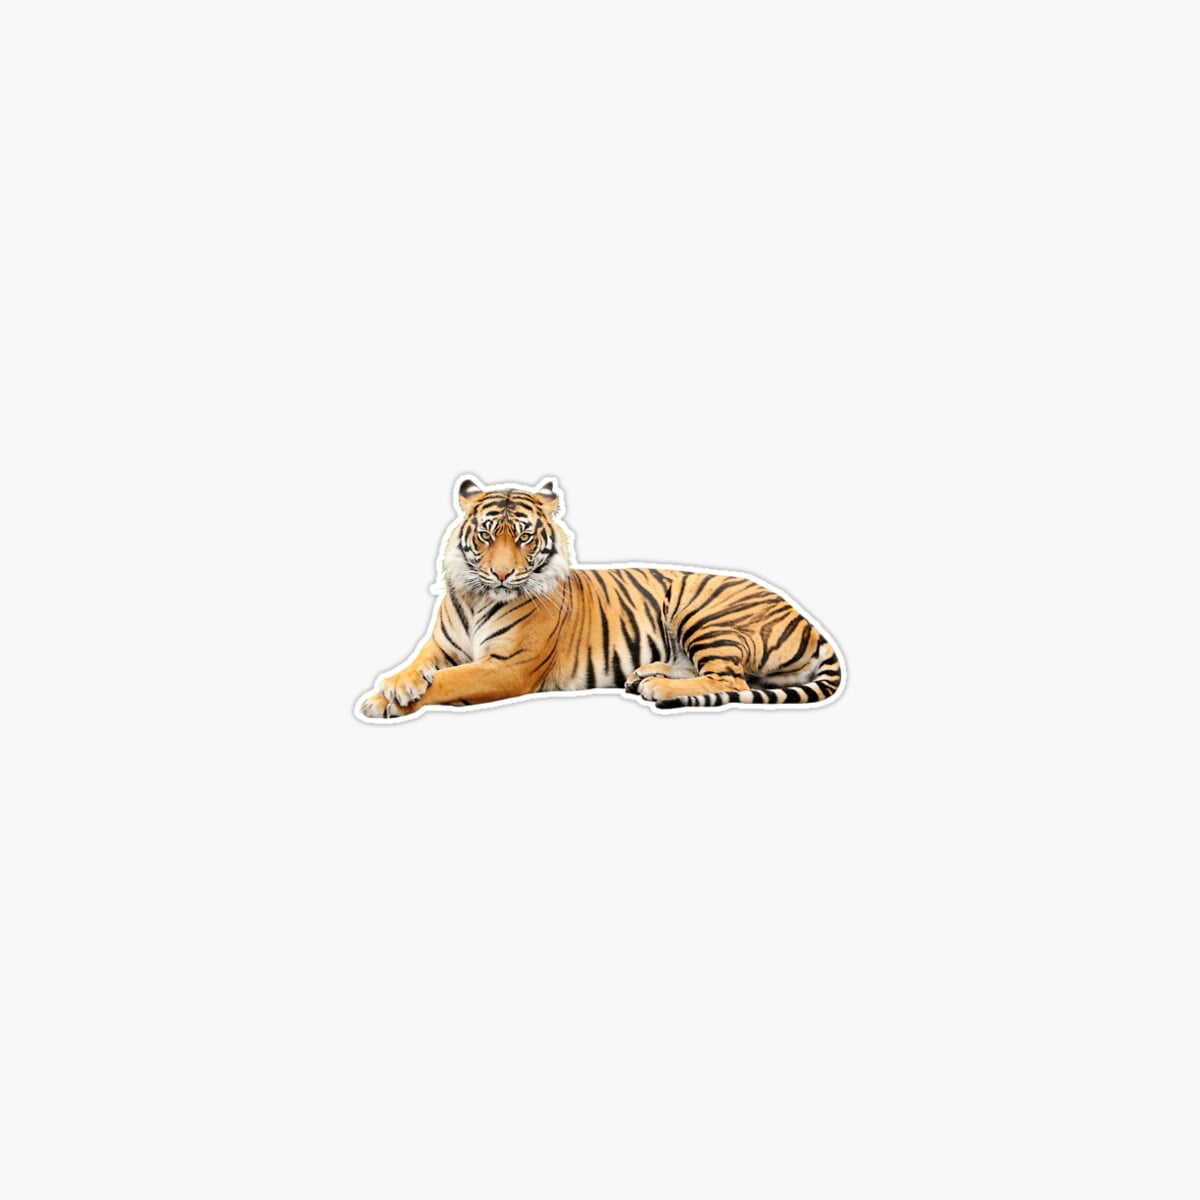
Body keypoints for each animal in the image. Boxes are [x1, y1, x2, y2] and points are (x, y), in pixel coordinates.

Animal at [357, 476, 844, 720]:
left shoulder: (508, 667)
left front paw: (385, 701)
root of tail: (805, 618)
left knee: (731, 679)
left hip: (705, 613)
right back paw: (645, 674)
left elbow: (449, 681)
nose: (502, 573)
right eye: (486, 534)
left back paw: (657, 685)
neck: (479, 598)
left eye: (524, 537)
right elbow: (419, 667)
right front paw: (394, 686)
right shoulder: (440, 647)